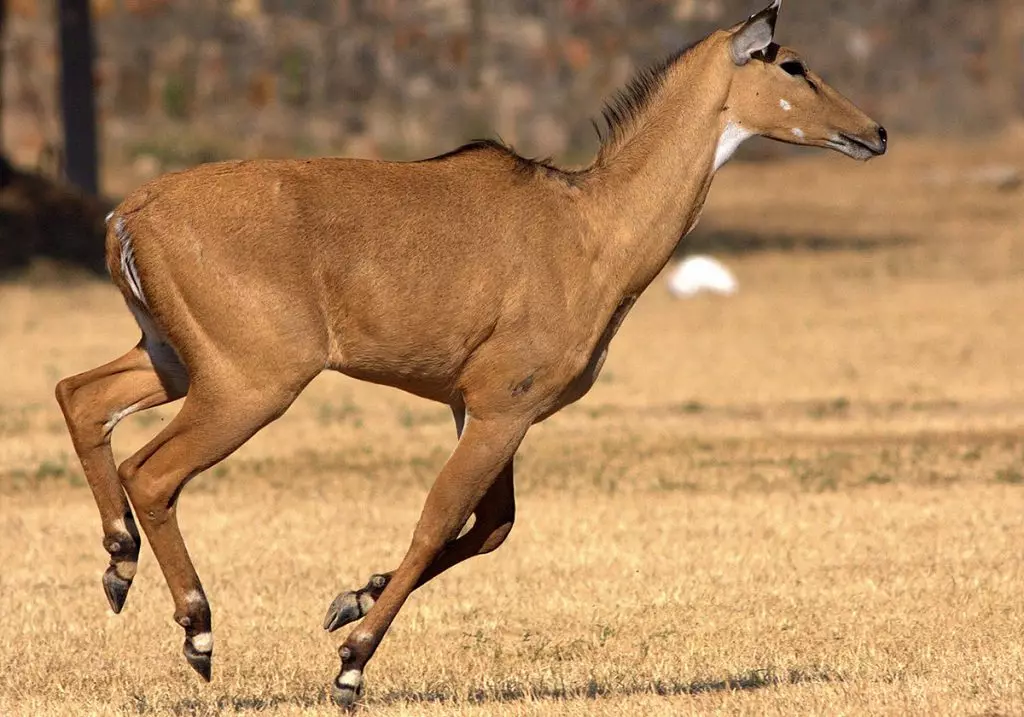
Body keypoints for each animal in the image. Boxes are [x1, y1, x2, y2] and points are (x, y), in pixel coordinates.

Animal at [58, 0, 888, 704]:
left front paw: (350, 597)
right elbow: (443, 518)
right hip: (251, 379)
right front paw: (352, 661)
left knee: (80, 394)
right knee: (151, 470)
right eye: (793, 65)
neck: (593, 227)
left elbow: (490, 527)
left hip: (173, 357)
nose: (875, 132)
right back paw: (198, 630)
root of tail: (128, 213)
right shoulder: (501, 404)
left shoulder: (480, 404)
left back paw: (118, 563)